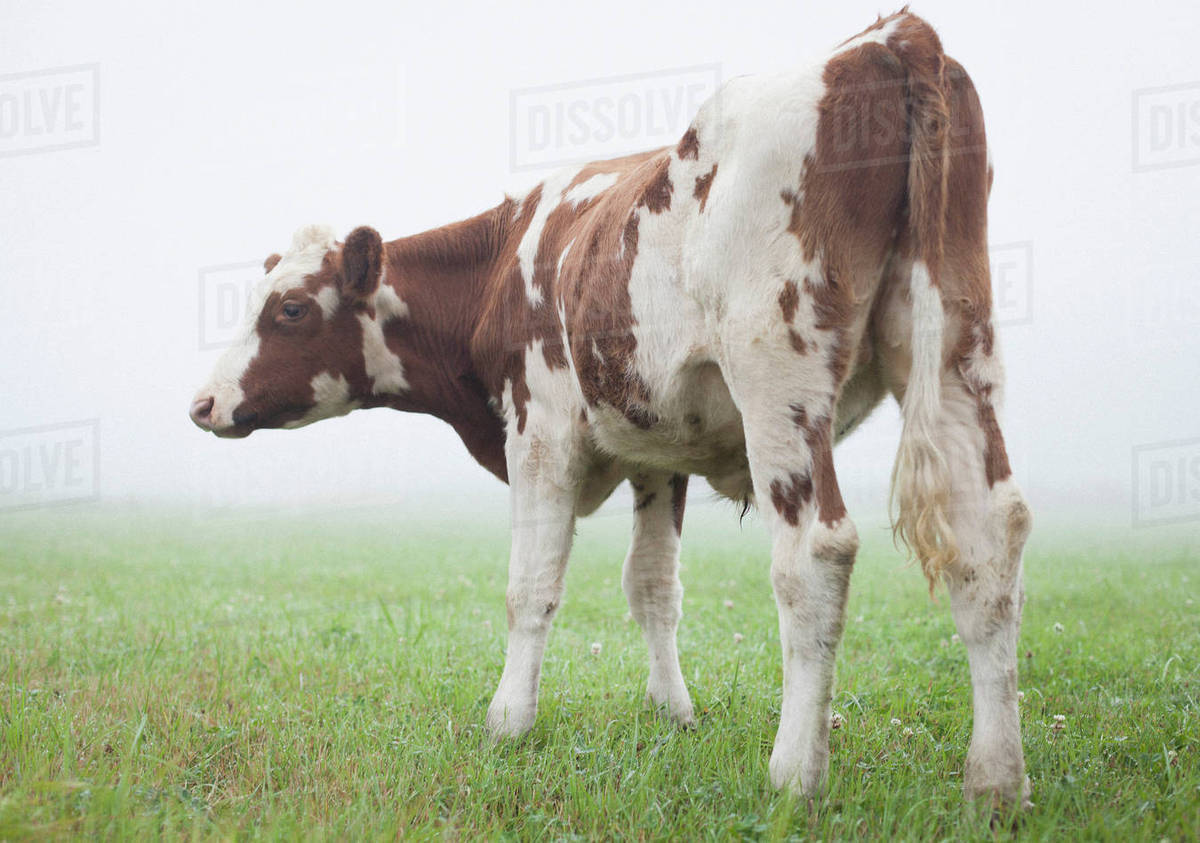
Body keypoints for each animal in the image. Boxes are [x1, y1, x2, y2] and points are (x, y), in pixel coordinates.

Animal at [190, 9, 1031, 808]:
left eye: (290, 309)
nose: (204, 401)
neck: (502, 263)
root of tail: (890, 37)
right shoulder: (660, 450)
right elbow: (653, 584)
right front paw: (673, 710)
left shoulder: (538, 428)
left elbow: (530, 584)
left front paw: (508, 720)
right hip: (957, 346)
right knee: (990, 538)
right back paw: (997, 780)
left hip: (778, 372)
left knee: (815, 553)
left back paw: (796, 773)